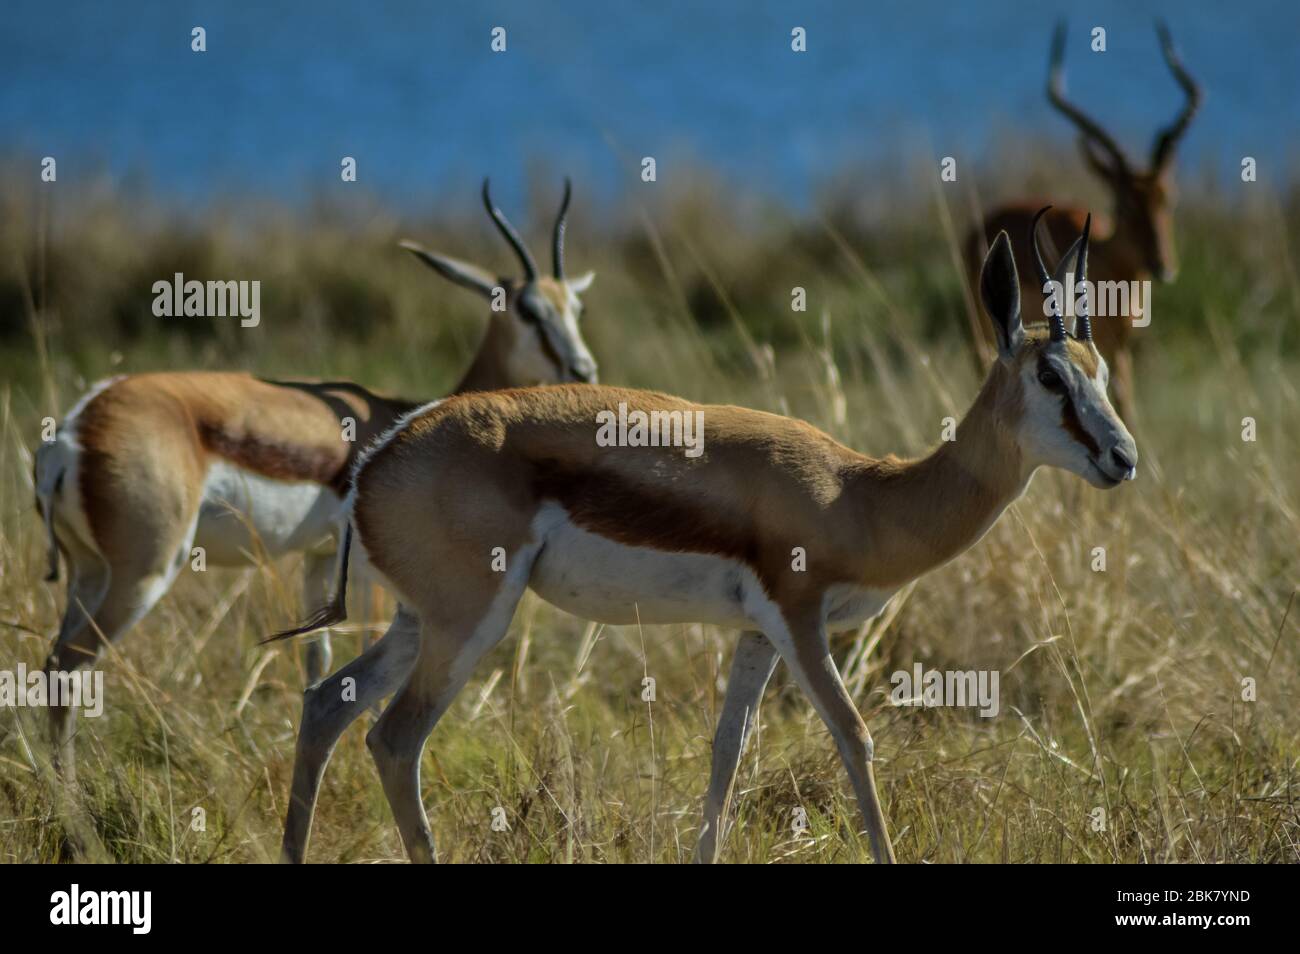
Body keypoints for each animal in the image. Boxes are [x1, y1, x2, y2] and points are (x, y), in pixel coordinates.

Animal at [33, 179, 597, 781]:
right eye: (528, 310)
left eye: (575, 306)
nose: (583, 370)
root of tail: (71, 431)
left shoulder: (320, 558)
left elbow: (317, 657)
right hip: (145, 573)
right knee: (68, 666)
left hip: (88, 573)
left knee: (54, 663)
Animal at [272, 212, 1137, 864]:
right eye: (1051, 377)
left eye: (1097, 369)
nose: (1123, 457)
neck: (861, 495)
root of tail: (380, 455)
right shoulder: (800, 620)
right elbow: (854, 737)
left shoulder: (757, 634)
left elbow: (728, 749)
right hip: (468, 622)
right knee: (393, 740)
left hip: (417, 621)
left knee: (323, 705)